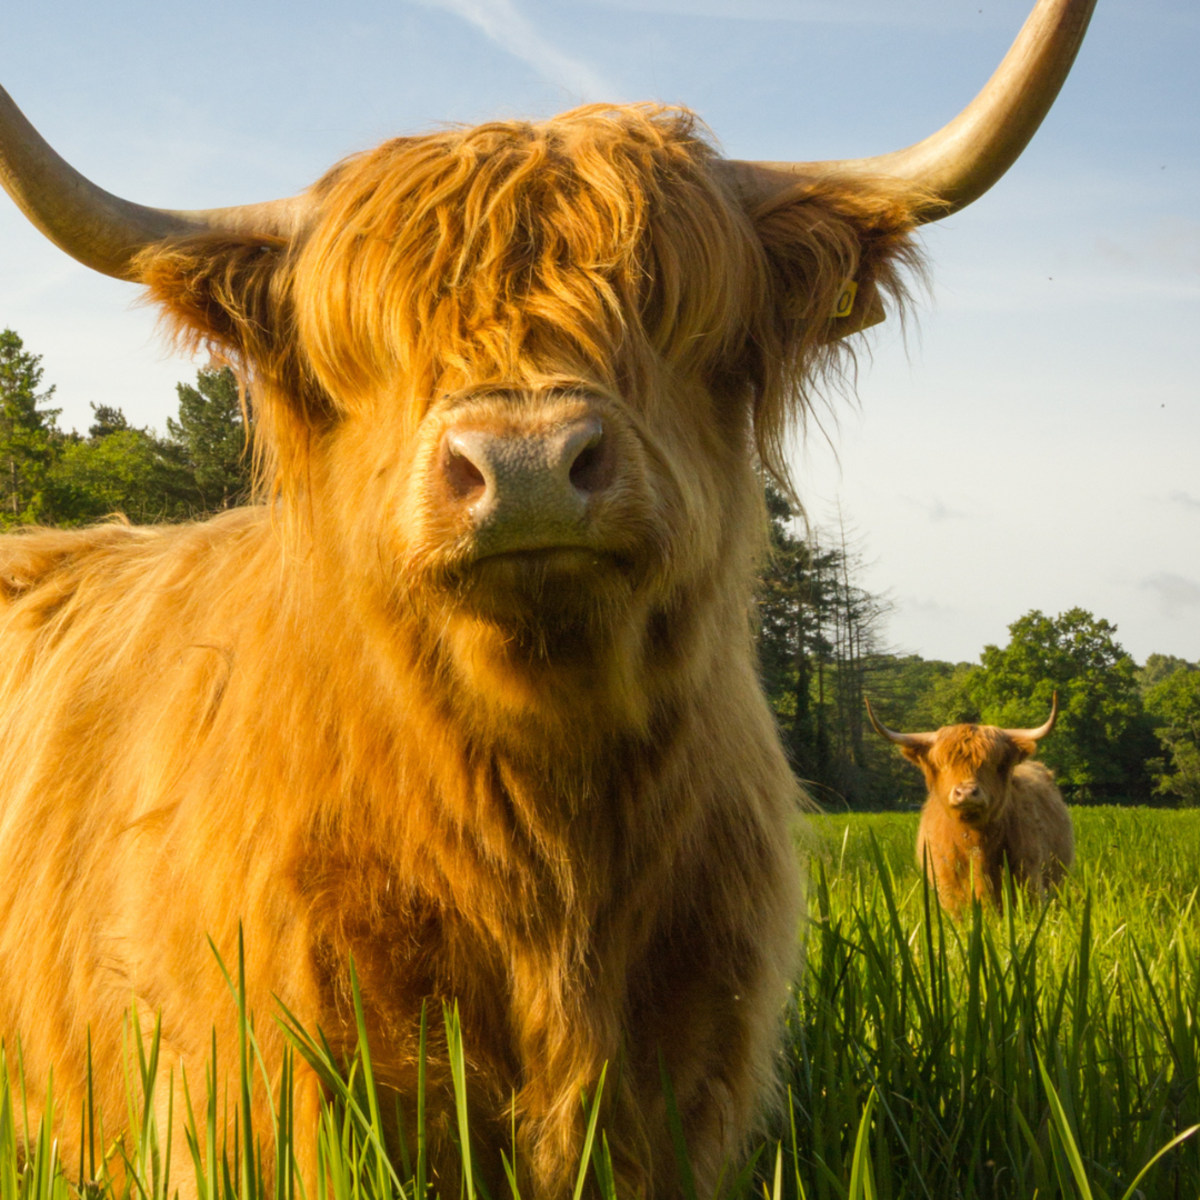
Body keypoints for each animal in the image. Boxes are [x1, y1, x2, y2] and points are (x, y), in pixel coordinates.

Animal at [865, 696, 1075, 912]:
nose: (966, 793)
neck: (976, 843)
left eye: (992, 763)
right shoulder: (948, 891)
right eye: (943, 763)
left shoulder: (1030, 881)